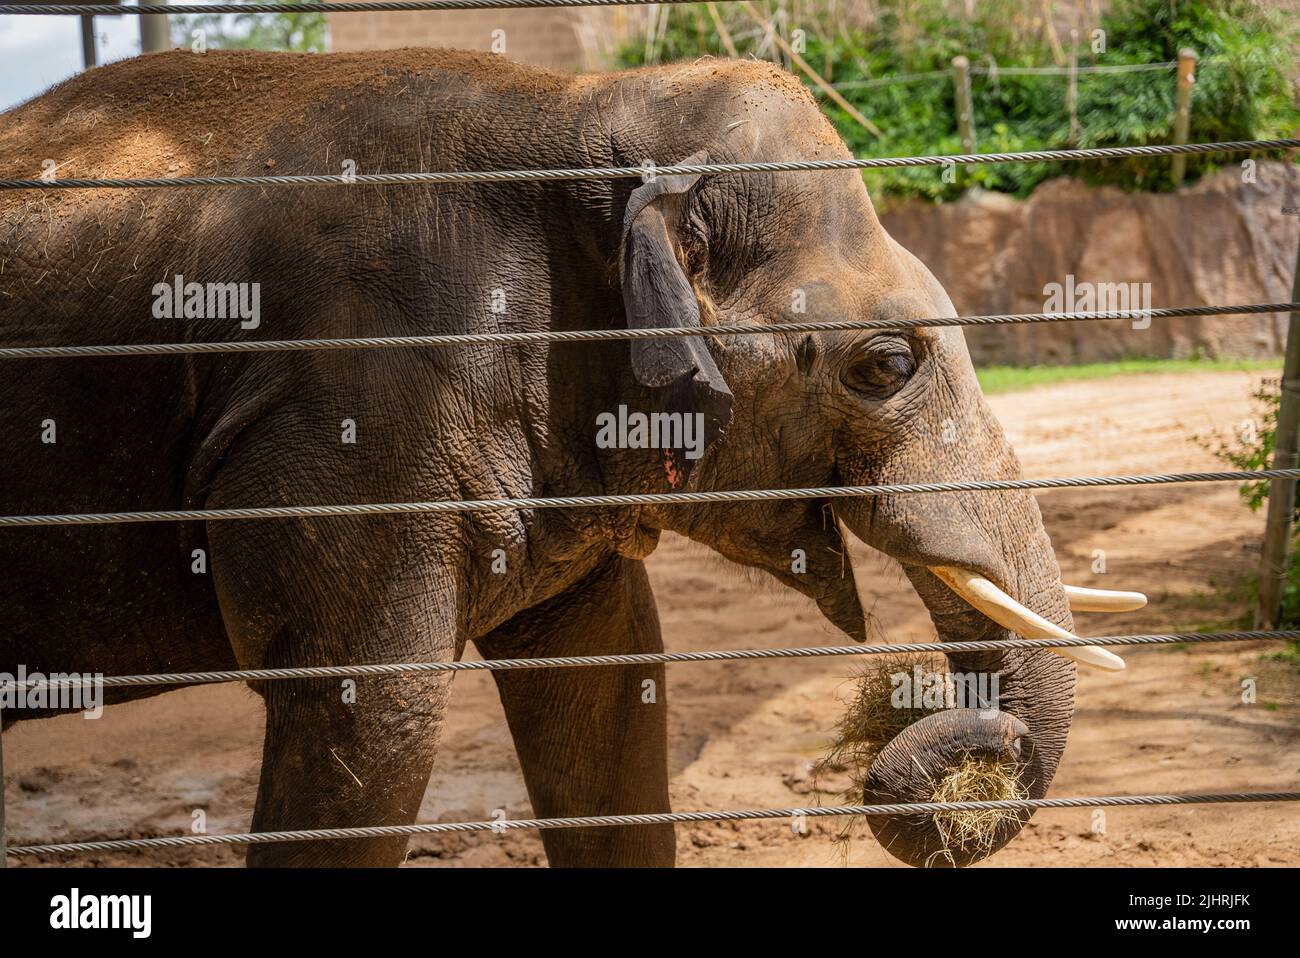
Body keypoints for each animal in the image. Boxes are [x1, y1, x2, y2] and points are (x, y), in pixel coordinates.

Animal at [0, 48, 1141, 868]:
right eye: (887, 363)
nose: (951, 739)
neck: (585, 118)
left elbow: (613, 691)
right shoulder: (354, 417)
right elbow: (371, 724)